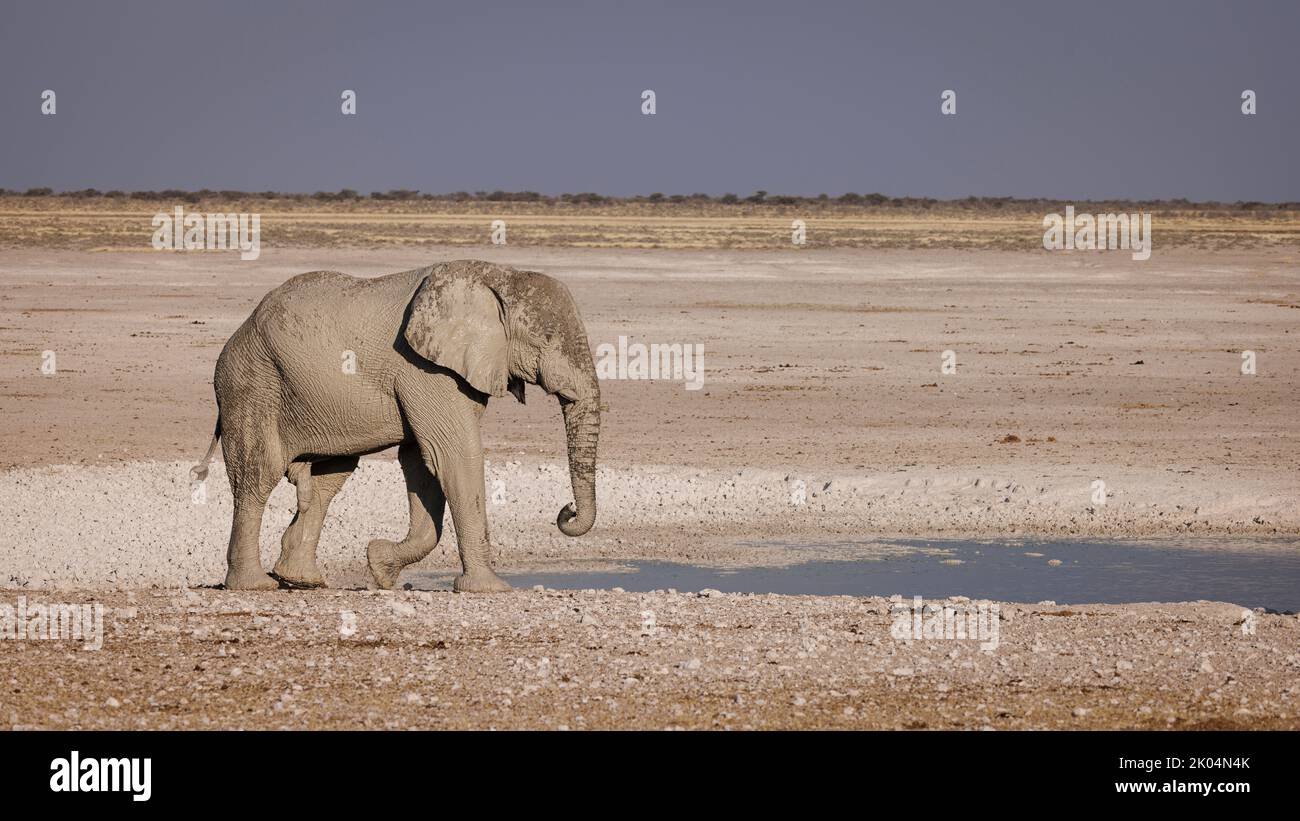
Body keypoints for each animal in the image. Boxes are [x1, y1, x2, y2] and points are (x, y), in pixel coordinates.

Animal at [190, 259, 601, 592]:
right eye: (546, 339)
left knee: (328, 479)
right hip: (251, 383)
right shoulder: (423, 368)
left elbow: (423, 461)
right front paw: (491, 589)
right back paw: (255, 585)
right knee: (257, 477)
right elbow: (453, 453)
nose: (566, 511)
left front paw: (380, 567)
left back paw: (300, 578)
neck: (499, 276)